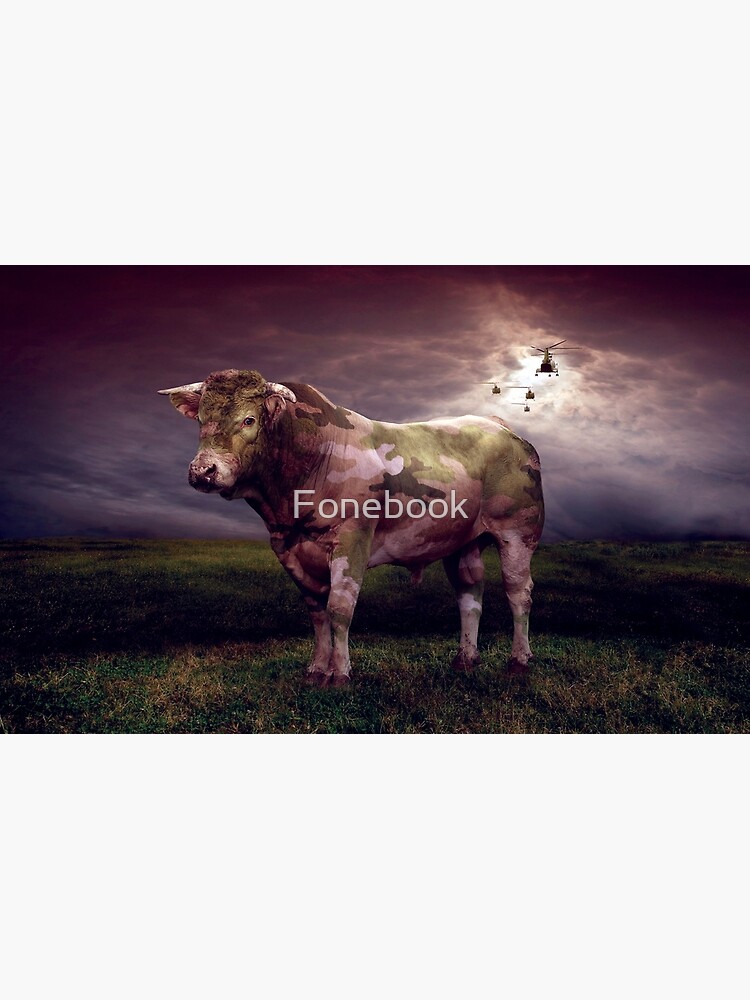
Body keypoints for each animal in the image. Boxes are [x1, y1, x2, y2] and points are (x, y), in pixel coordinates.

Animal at [158, 369, 544, 687]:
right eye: (201, 420)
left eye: (249, 419)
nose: (203, 471)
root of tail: (500, 426)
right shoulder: (289, 549)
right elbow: (317, 613)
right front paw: (316, 669)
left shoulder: (352, 539)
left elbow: (339, 609)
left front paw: (339, 672)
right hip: (461, 542)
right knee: (469, 593)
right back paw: (465, 658)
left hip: (517, 532)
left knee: (518, 592)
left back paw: (519, 660)